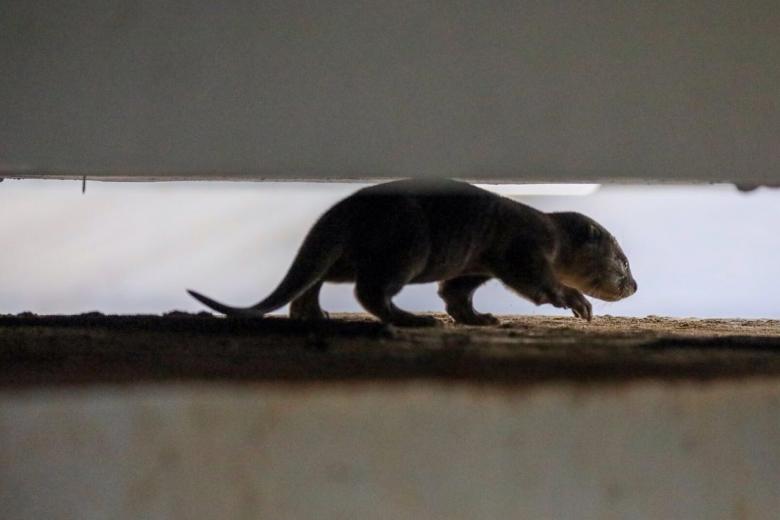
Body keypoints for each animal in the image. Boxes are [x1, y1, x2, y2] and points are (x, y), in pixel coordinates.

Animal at [188, 179, 637, 326]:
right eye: (623, 260)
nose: (633, 285)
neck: (553, 233)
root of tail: (343, 211)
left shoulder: (476, 266)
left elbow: (455, 292)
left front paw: (479, 318)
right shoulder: (526, 247)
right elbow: (537, 283)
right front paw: (576, 301)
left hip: (349, 256)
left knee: (318, 279)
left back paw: (314, 314)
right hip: (409, 245)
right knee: (370, 291)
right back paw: (412, 320)